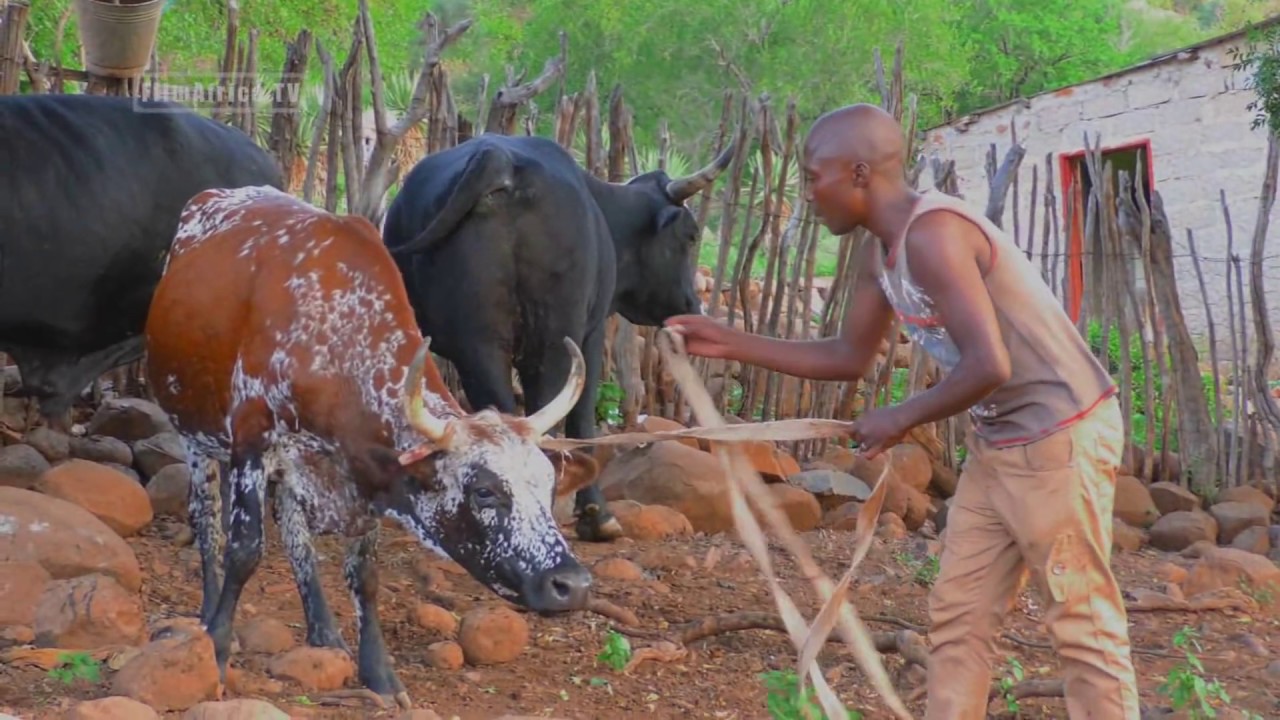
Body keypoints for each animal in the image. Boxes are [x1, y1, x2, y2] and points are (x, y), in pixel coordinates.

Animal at [144, 185, 600, 707]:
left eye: (548, 486)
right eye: (484, 491)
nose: (572, 584)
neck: (331, 332)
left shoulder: (364, 476)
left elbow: (364, 576)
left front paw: (378, 672)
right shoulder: (251, 442)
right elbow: (243, 549)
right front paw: (217, 645)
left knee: (295, 535)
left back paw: (323, 632)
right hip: (197, 441)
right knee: (207, 524)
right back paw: (208, 609)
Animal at [381, 134, 735, 542]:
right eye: (691, 236)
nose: (693, 306)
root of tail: (498, 160)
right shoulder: (590, 335)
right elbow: (582, 419)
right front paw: (597, 516)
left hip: (479, 343)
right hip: (549, 342)